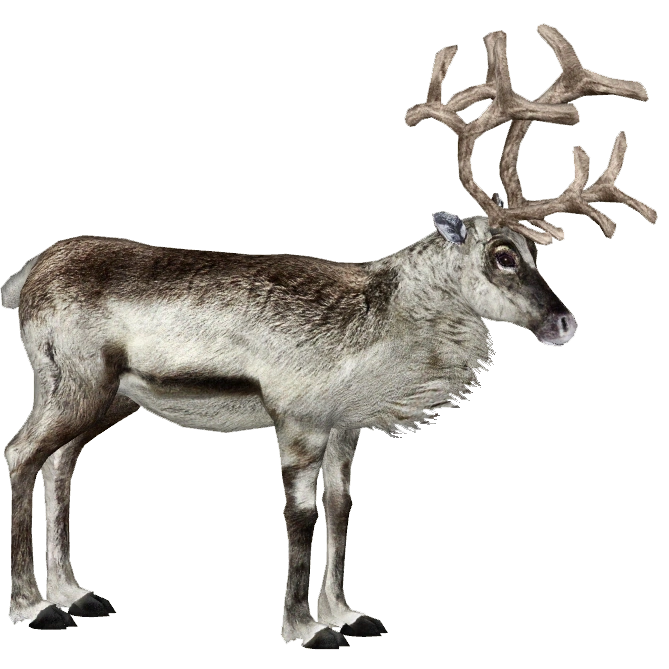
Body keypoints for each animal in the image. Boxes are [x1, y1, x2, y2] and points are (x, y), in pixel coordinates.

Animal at [1, 23, 657, 648]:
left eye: (538, 252)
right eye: (502, 254)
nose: (563, 321)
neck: (384, 326)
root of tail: (31, 273)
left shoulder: (345, 432)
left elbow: (342, 516)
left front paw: (350, 616)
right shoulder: (298, 422)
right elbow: (301, 520)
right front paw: (308, 629)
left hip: (112, 399)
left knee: (60, 466)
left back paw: (79, 596)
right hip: (76, 384)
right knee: (21, 454)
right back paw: (35, 609)